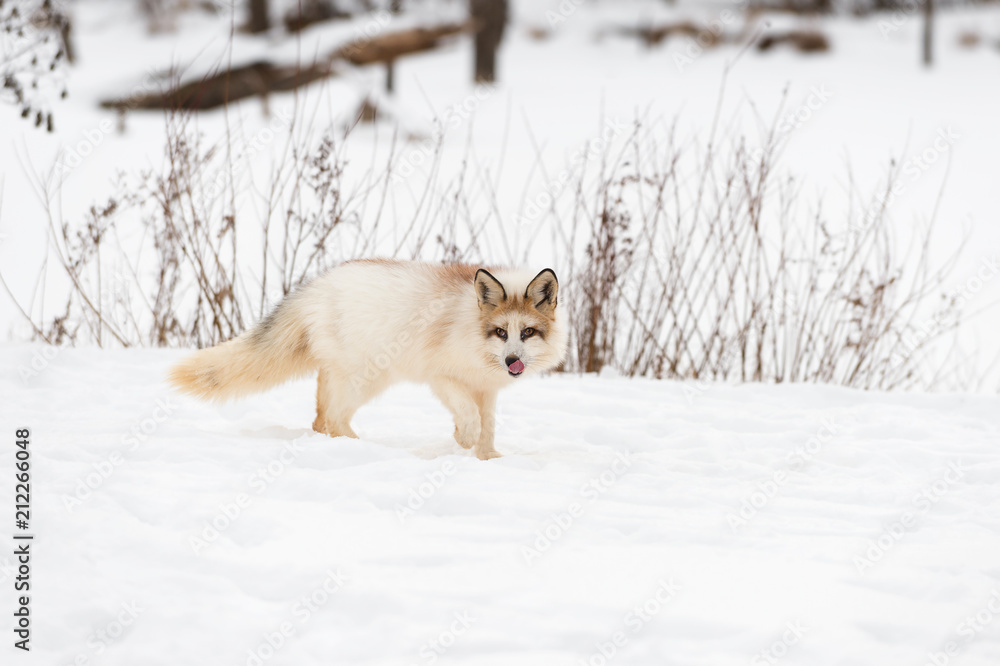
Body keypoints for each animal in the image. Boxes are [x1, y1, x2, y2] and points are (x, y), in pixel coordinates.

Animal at [169, 259, 568, 459]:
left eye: (527, 332)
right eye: (501, 332)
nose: (512, 361)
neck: (470, 325)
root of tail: (314, 287)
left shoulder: (486, 388)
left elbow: (487, 426)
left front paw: (487, 459)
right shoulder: (441, 376)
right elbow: (469, 417)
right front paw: (465, 440)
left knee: (321, 419)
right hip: (368, 379)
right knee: (333, 419)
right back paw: (363, 449)